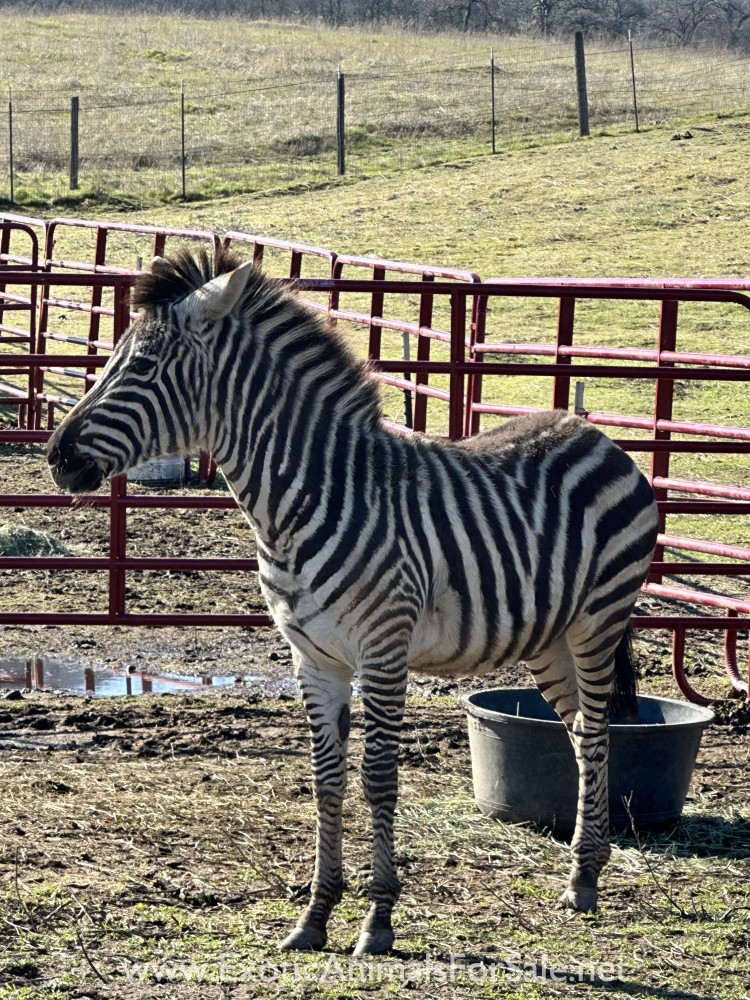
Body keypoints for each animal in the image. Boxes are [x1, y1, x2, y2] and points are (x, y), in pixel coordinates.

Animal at [47, 248, 659, 957]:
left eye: (141, 366)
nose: (57, 457)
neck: (299, 503)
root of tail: (592, 432)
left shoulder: (384, 649)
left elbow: (378, 776)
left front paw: (378, 919)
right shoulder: (313, 657)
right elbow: (326, 777)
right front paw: (315, 916)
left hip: (598, 621)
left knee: (598, 733)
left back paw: (586, 881)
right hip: (550, 638)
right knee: (583, 731)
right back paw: (582, 872)